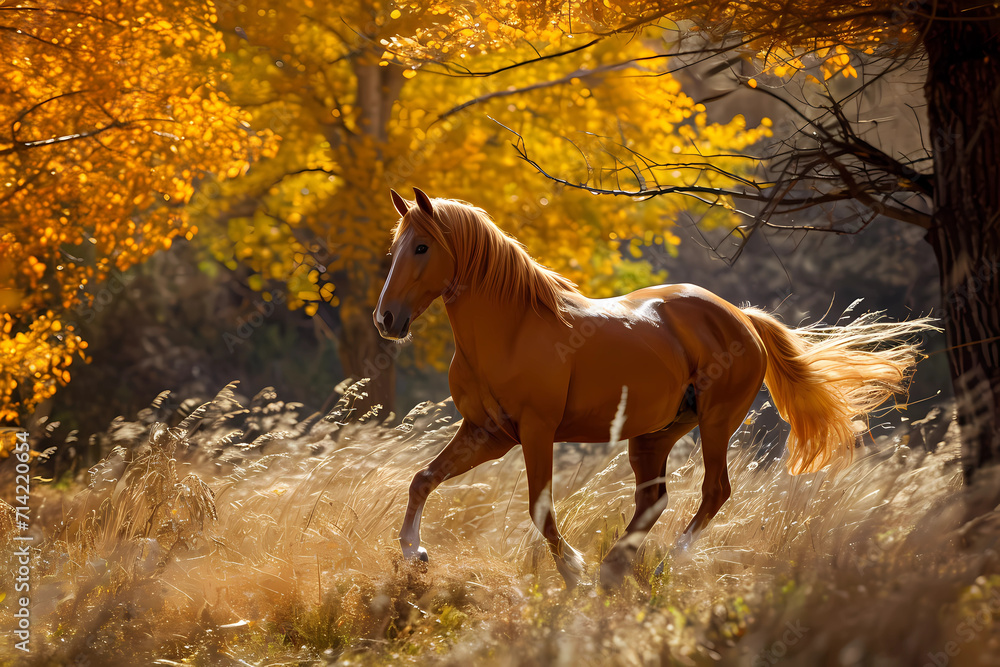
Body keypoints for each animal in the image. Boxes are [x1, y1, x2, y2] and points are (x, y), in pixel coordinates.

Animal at [374, 187, 931, 588]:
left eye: (421, 247)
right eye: (393, 248)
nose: (387, 320)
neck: (511, 329)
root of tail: (742, 318)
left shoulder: (536, 430)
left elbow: (539, 506)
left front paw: (571, 570)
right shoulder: (487, 433)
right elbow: (422, 479)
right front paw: (414, 553)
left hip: (715, 422)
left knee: (713, 491)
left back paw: (663, 566)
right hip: (654, 434)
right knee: (654, 501)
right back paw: (614, 569)